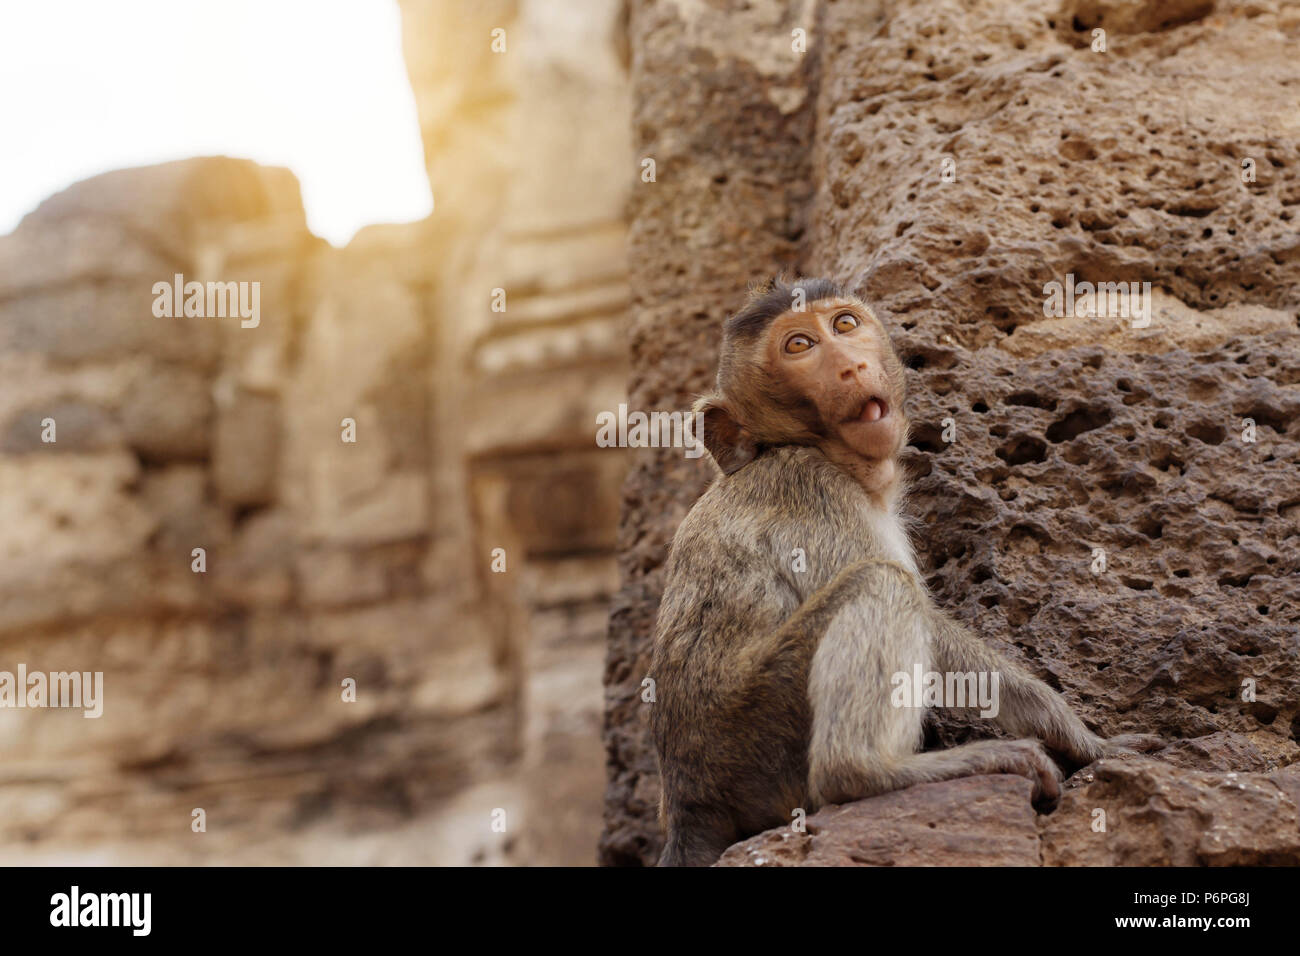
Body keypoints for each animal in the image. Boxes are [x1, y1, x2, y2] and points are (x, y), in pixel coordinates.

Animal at [647, 277, 1162, 867]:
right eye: (799, 346)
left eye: (844, 325)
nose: (852, 367)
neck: (795, 448)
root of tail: (687, 804)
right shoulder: (814, 488)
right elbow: (932, 629)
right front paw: (1083, 738)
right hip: (755, 736)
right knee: (881, 587)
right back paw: (874, 772)